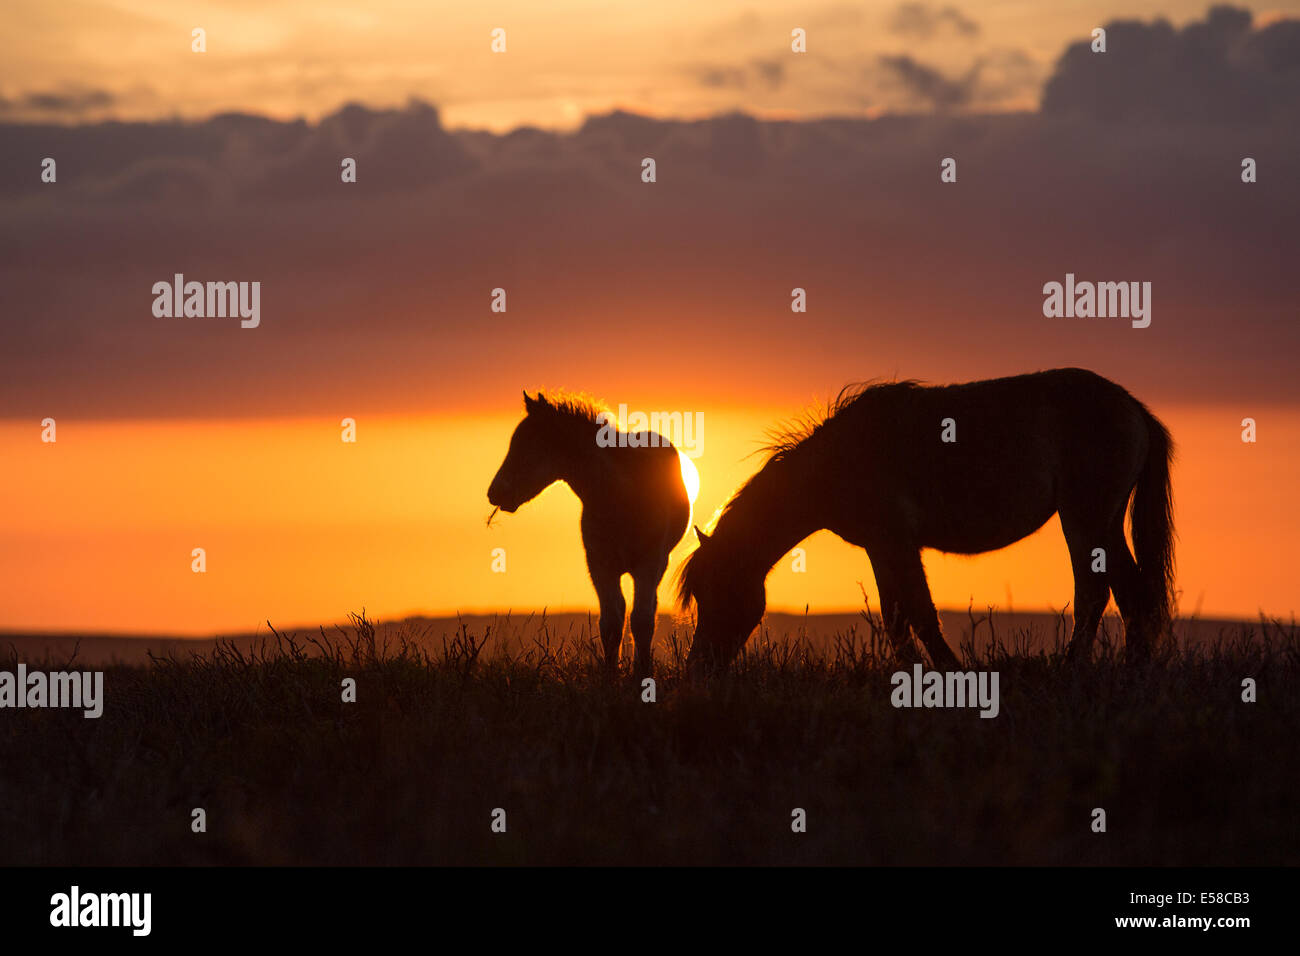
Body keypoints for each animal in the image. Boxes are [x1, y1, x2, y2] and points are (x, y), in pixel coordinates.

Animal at [488, 391, 691, 677]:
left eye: (530, 446)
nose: (495, 492)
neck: (620, 495)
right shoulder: (599, 564)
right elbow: (611, 621)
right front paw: (610, 675)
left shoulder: (649, 564)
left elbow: (641, 619)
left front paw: (641, 673)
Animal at [677, 368, 1174, 673]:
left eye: (717, 591)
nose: (699, 667)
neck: (840, 461)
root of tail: (1133, 407)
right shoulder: (880, 547)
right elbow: (896, 614)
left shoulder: (898, 542)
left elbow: (919, 612)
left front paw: (947, 673)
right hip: (1105, 521)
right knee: (1129, 591)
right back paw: (1133, 667)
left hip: (1084, 517)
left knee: (1096, 591)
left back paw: (1077, 666)